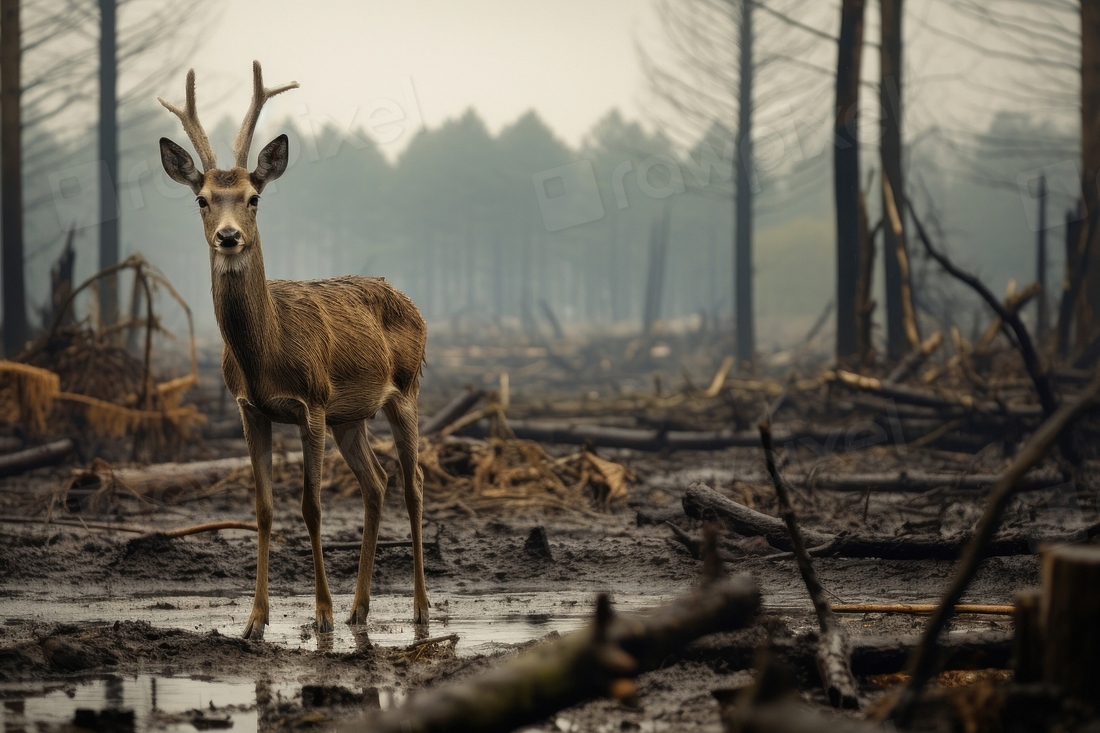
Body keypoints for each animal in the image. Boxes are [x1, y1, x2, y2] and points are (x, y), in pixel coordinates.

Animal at [157, 62, 429, 639]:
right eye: (202, 199)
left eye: (253, 197)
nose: (229, 236)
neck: (266, 354)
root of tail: (411, 301)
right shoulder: (251, 408)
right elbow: (262, 508)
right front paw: (255, 620)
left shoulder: (313, 401)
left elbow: (311, 506)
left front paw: (320, 614)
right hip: (353, 416)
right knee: (377, 482)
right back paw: (359, 609)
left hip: (406, 389)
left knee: (413, 482)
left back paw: (418, 608)